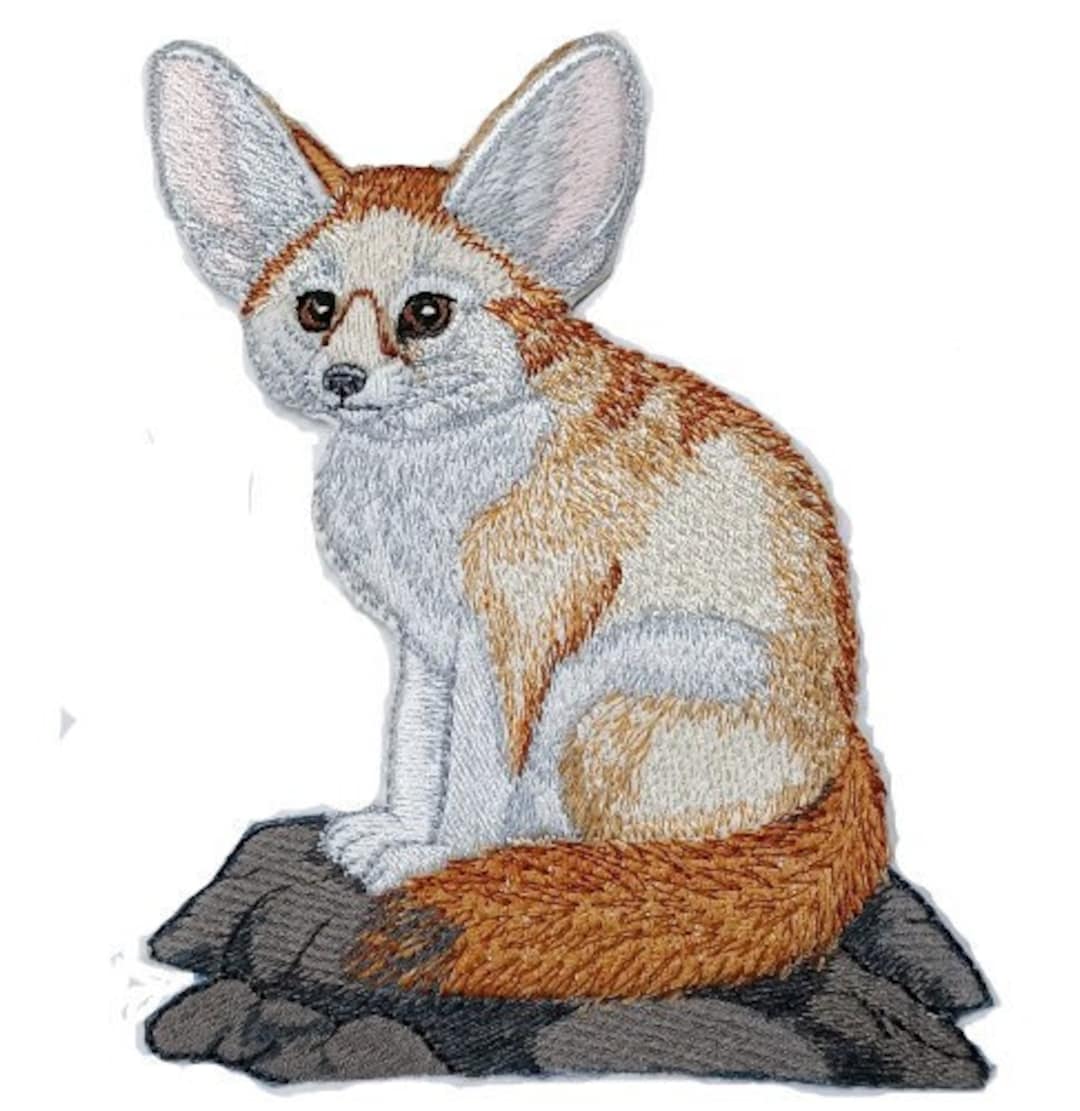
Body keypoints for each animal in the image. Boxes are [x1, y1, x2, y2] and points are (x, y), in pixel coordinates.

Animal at [147, 34, 888, 1001]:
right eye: (316, 309)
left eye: (425, 314)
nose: (341, 379)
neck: (418, 478)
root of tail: (848, 742)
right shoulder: (428, 638)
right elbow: (416, 747)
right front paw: (396, 830)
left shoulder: (513, 635)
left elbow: (473, 775)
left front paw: (441, 861)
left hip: (603, 697)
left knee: (640, 849)